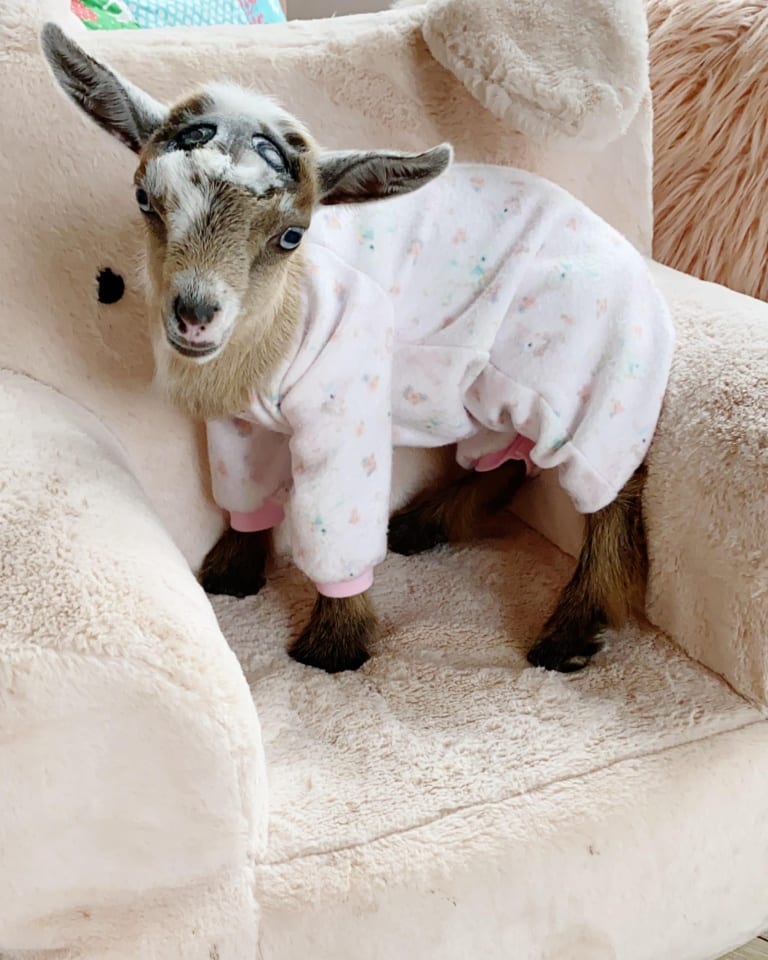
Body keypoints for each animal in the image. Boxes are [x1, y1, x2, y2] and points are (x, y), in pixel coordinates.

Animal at [41, 24, 674, 674]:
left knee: (610, 483)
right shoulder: (236, 419)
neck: (276, 322)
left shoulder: (342, 402)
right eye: (145, 199)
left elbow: (334, 520)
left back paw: (572, 628)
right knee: (505, 459)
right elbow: (243, 488)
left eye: (292, 235)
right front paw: (232, 570)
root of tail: (633, 256)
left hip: (584, 368)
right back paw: (424, 525)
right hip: (487, 388)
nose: (195, 317)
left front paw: (333, 643)